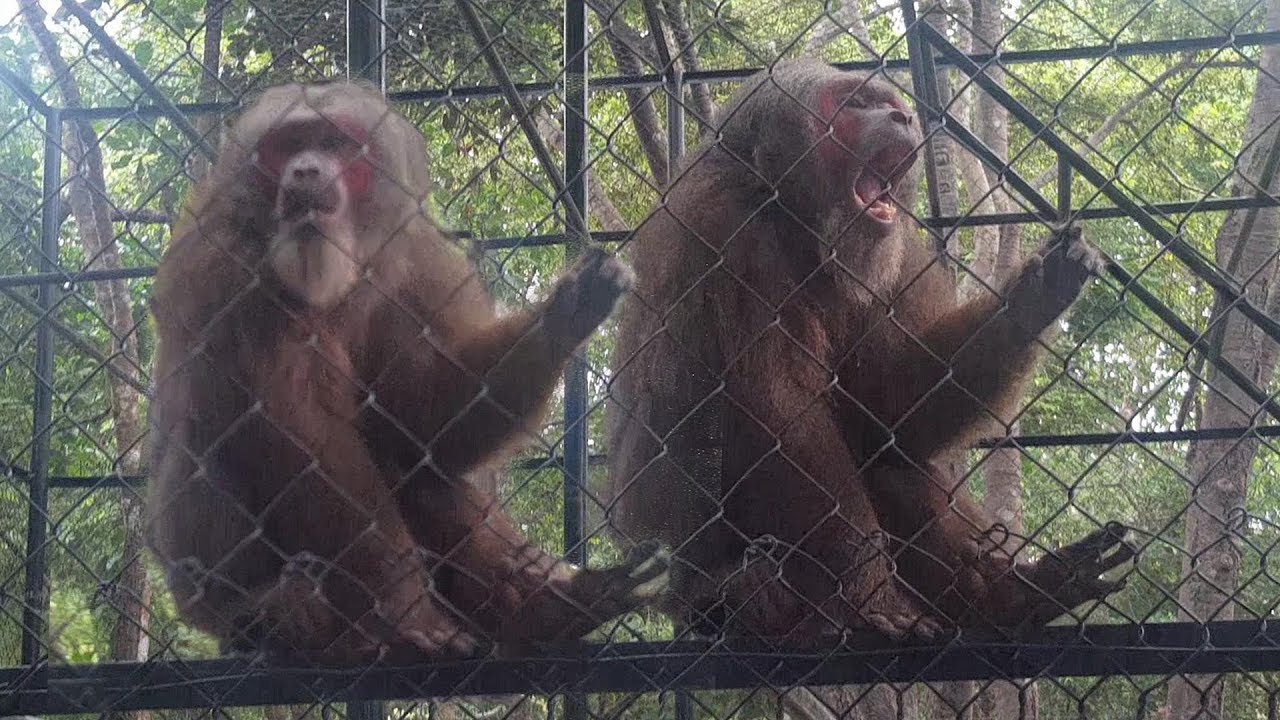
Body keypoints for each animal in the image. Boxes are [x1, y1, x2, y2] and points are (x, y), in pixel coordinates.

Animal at [145, 80, 669, 666]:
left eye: (335, 143)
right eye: (288, 145)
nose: (304, 170)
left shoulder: (419, 259)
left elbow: (416, 420)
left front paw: (563, 316)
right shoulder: (221, 256)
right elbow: (293, 431)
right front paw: (404, 615)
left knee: (405, 458)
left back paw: (546, 606)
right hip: (197, 590)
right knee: (213, 445)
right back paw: (279, 615)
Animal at [604, 58, 1133, 643]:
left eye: (888, 103)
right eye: (854, 104)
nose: (904, 117)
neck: (797, 221)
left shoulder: (896, 256)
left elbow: (885, 412)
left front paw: (1030, 302)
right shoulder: (732, 235)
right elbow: (782, 414)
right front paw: (867, 596)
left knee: (887, 457)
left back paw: (1006, 598)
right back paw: (748, 597)